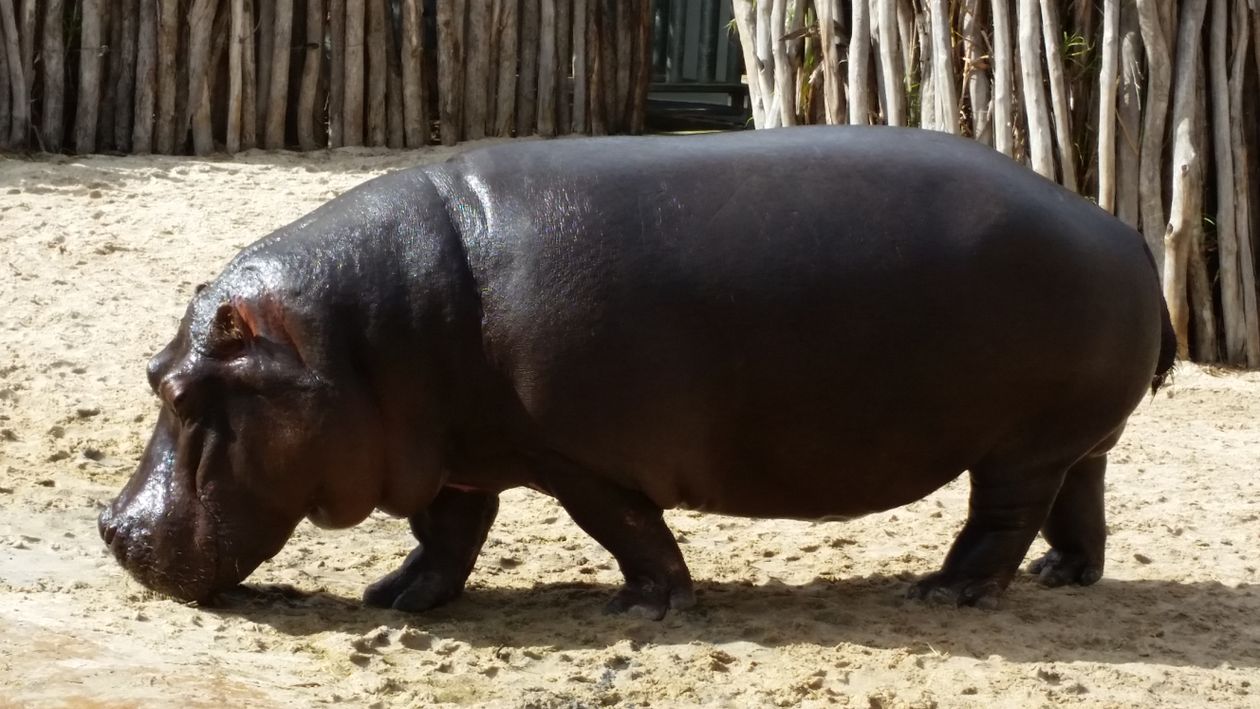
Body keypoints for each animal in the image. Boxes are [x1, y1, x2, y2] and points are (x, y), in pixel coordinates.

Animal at [99, 126, 1175, 618]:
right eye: (152, 369)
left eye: (183, 393)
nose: (109, 526)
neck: (350, 338)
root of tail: (1120, 226)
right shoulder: (457, 451)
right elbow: (446, 531)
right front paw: (396, 596)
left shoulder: (578, 458)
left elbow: (623, 527)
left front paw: (651, 607)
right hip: (1075, 438)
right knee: (1079, 498)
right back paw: (1066, 575)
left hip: (1018, 445)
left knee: (999, 517)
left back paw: (943, 592)